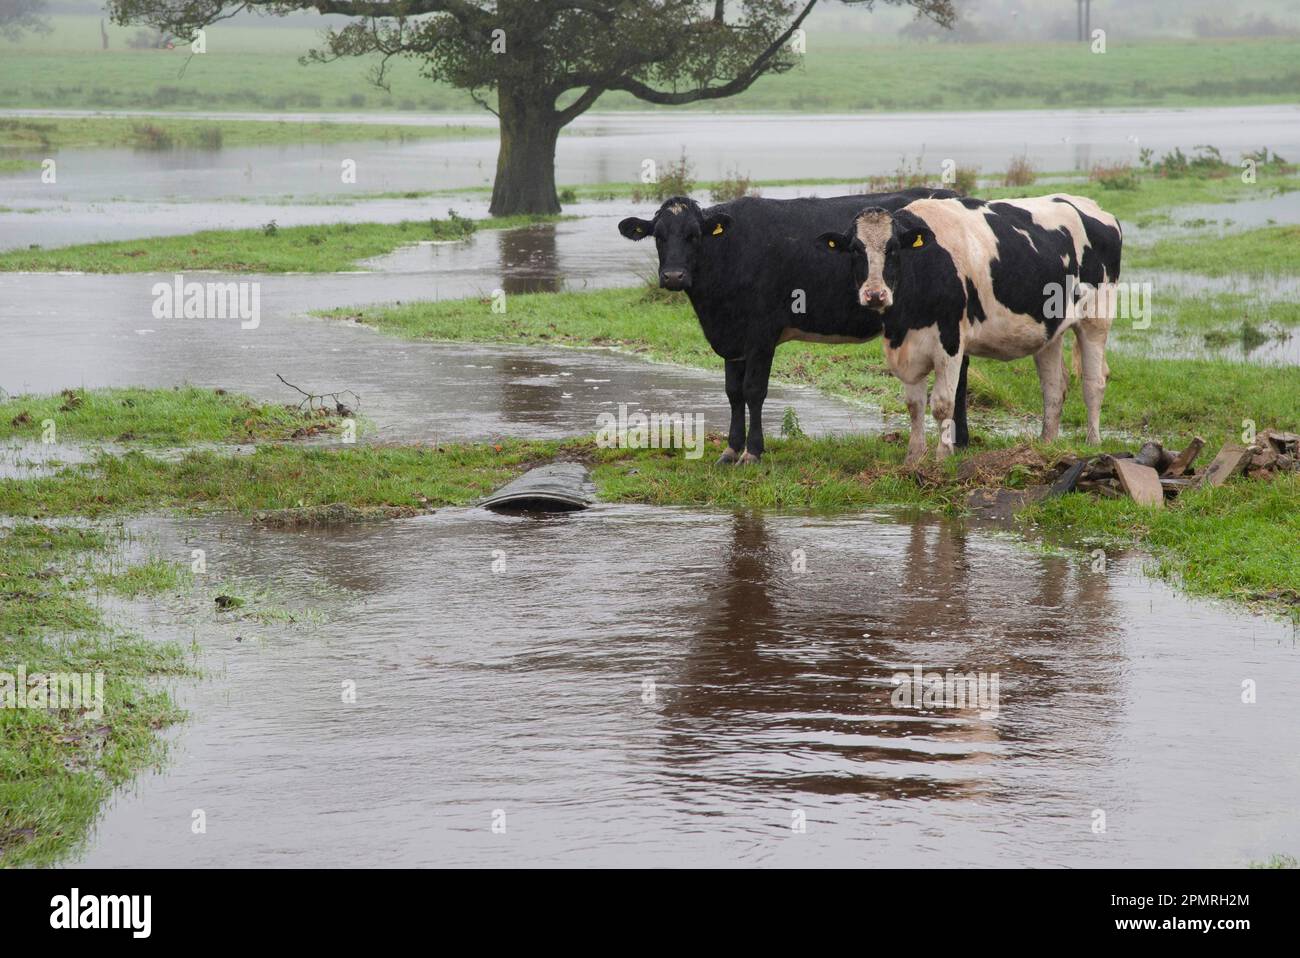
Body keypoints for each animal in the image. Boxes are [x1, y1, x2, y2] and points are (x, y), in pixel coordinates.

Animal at [618, 190, 968, 465]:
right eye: (658, 236)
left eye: (694, 234)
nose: (673, 276)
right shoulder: (733, 339)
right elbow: (733, 392)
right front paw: (730, 450)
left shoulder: (762, 334)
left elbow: (753, 391)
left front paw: (752, 452)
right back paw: (962, 441)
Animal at [815, 194, 1122, 466]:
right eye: (856, 249)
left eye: (892, 249)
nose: (875, 295)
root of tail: (1092, 206)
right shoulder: (906, 345)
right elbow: (914, 405)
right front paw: (913, 459)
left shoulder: (950, 341)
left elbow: (943, 404)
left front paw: (942, 457)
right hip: (1050, 330)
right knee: (1054, 387)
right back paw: (1046, 443)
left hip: (1096, 317)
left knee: (1093, 383)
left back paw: (1093, 442)